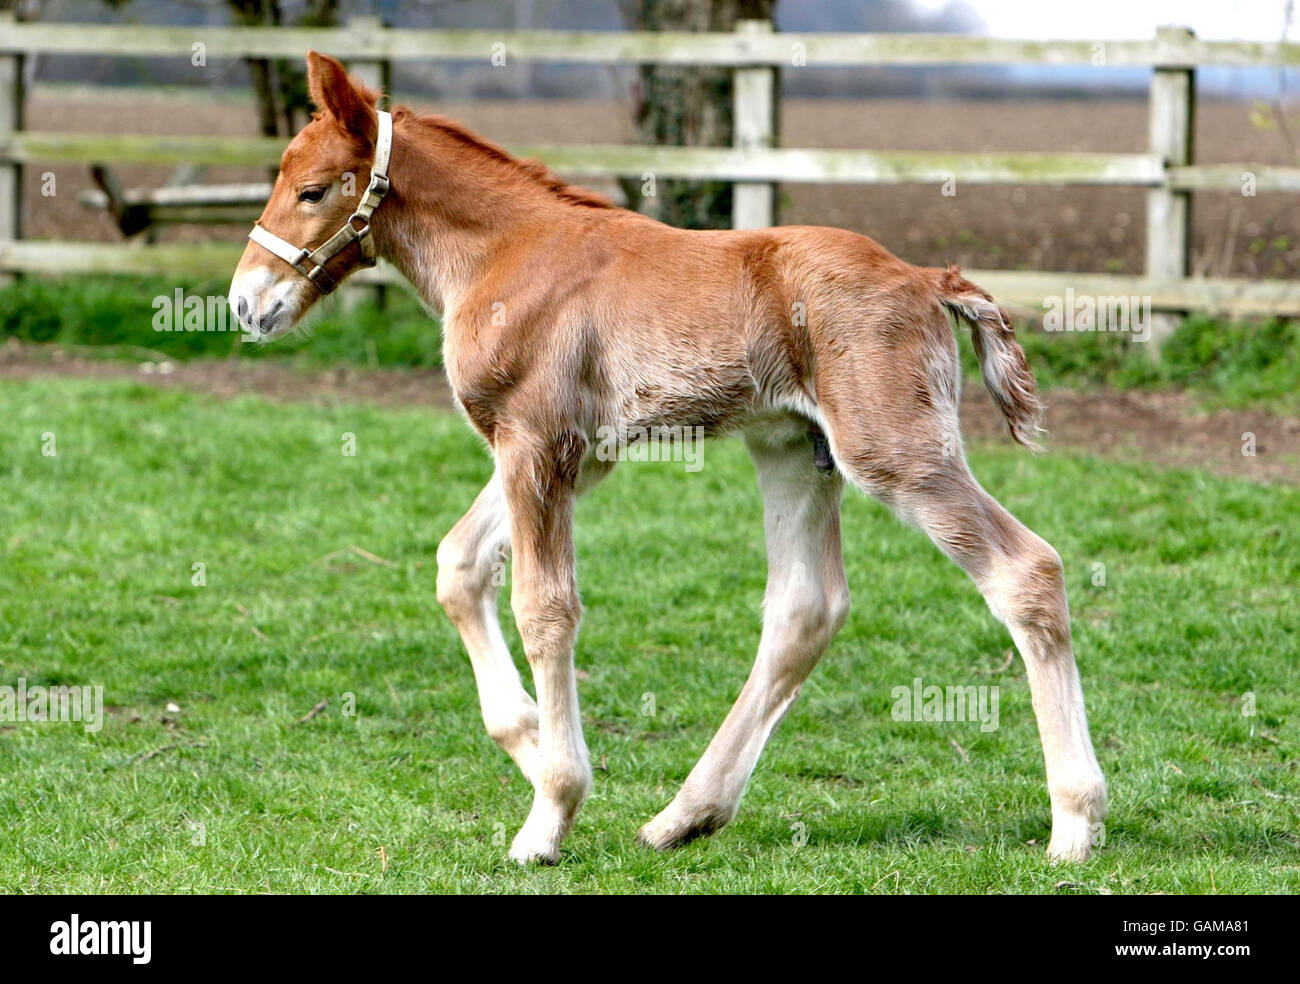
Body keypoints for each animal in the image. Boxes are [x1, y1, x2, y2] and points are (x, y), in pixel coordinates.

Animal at [229, 51, 1107, 865]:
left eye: (313, 191)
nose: (244, 302)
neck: (504, 254)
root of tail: (928, 279)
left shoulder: (536, 441)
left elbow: (544, 609)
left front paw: (550, 813)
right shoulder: (571, 455)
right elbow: (458, 566)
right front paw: (528, 742)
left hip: (892, 450)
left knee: (1026, 569)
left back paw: (1074, 823)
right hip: (793, 449)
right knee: (806, 609)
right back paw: (685, 815)